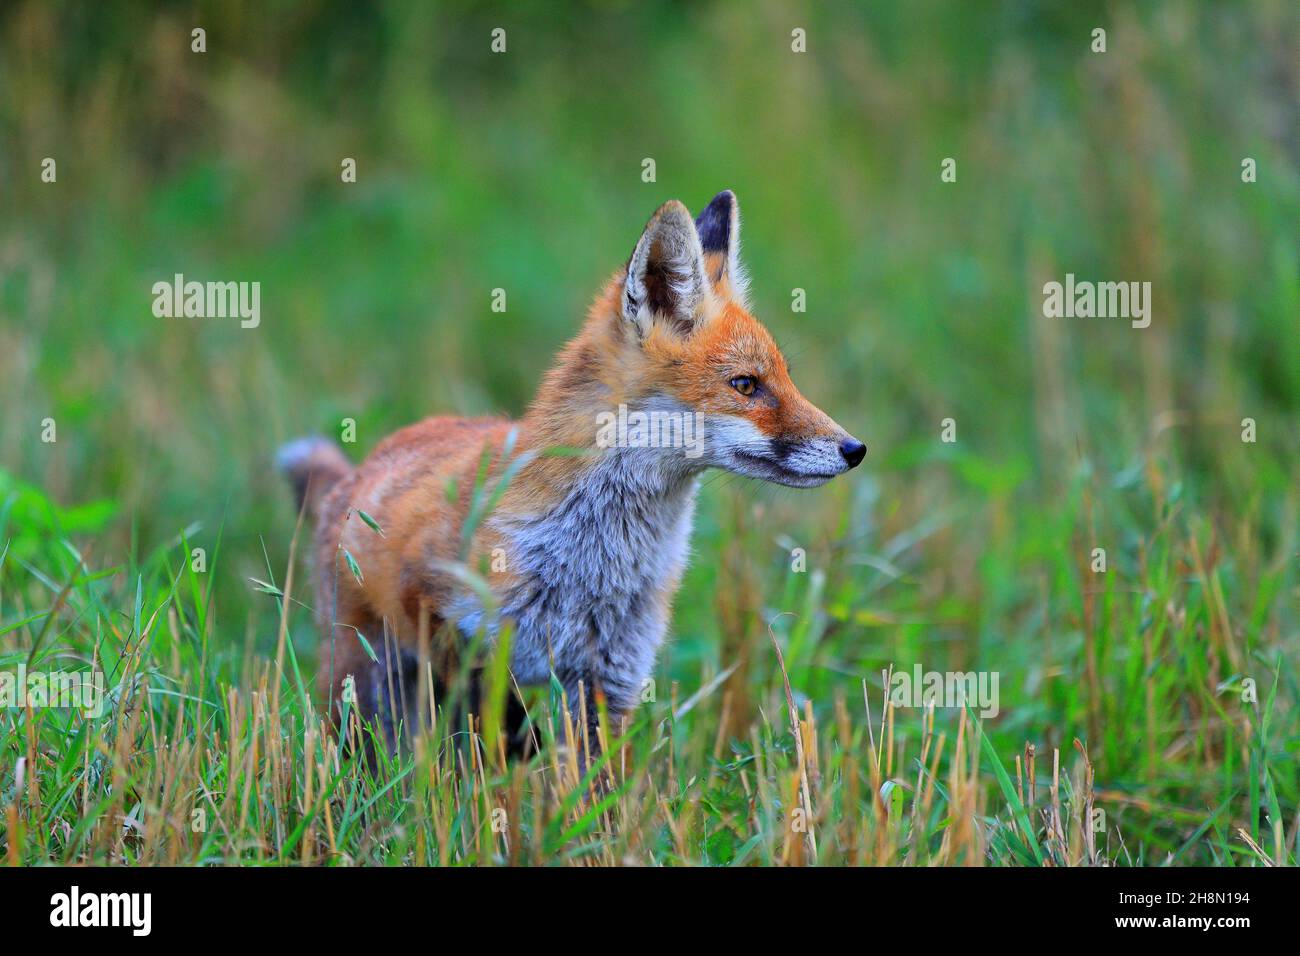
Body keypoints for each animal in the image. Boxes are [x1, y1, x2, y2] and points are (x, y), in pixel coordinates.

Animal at [278, 190, 865, 753]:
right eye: (746, 385)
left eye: (785, 378)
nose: (855, 449)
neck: (593, 559)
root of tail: (362, 467)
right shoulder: (437, 614)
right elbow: (495, 732)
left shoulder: (608, 676)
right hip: (365, 676)